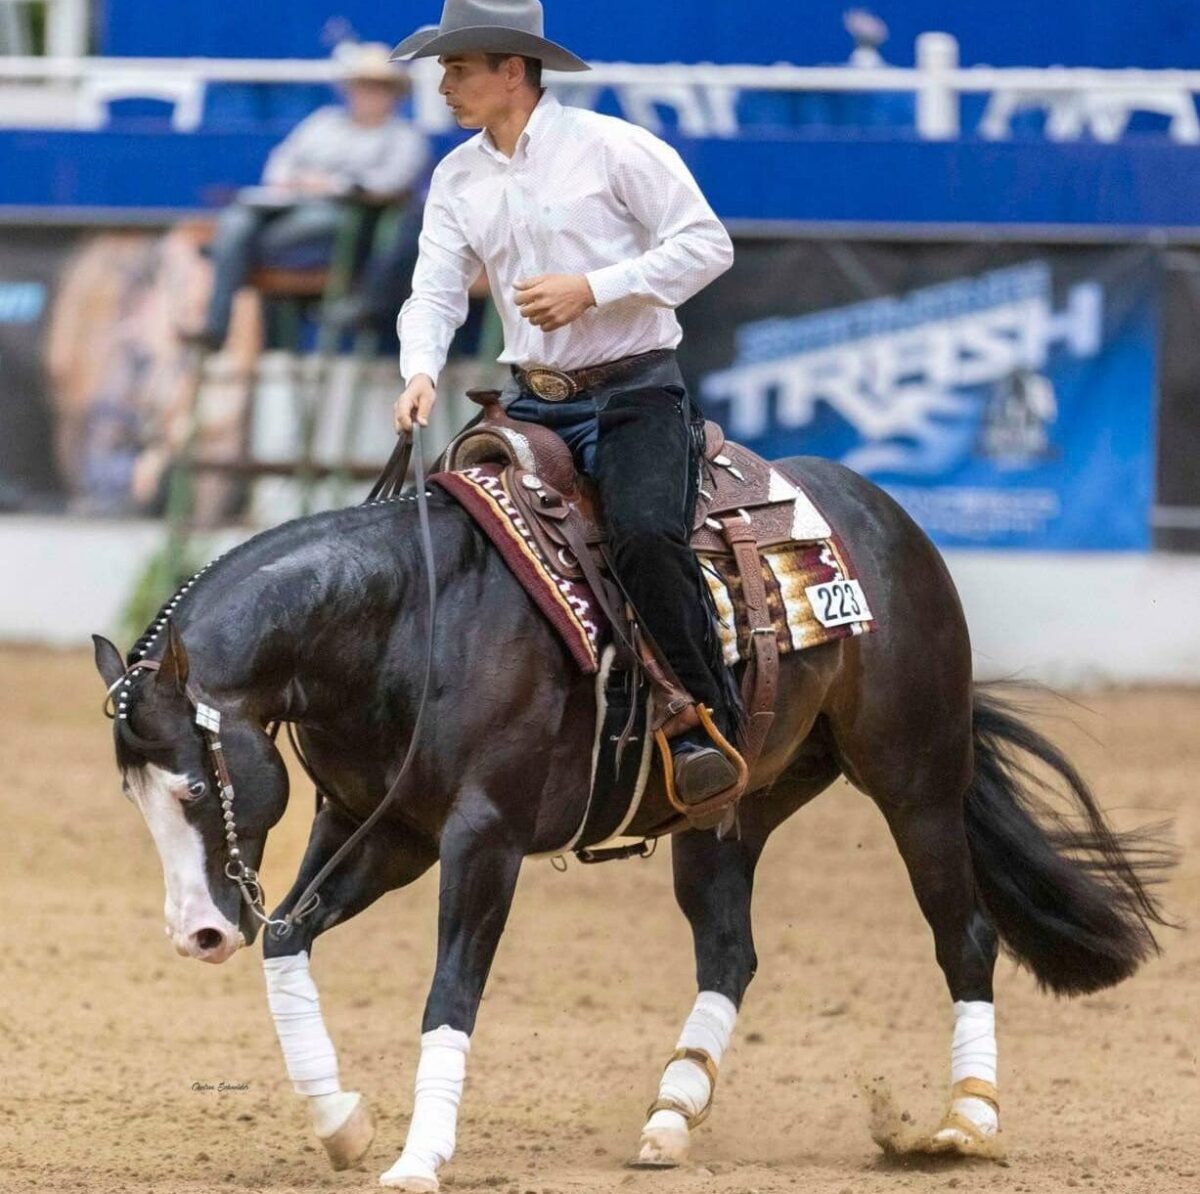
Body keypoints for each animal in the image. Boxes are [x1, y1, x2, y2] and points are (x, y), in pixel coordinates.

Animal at [93, 453, 1170, 1192]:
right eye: (134, 798)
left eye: (194, 790)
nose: (197, 933)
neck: (407, 621)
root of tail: (884, 516)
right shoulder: (378, 826)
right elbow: (288, 938)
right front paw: (343, 1123)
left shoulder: (482, 839)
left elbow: (451, 992)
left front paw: (419, 1156)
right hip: (733, 810)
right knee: (731, 951)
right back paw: (671, 1115)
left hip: (916, 776)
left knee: (966, 934)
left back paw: (965, 1123)